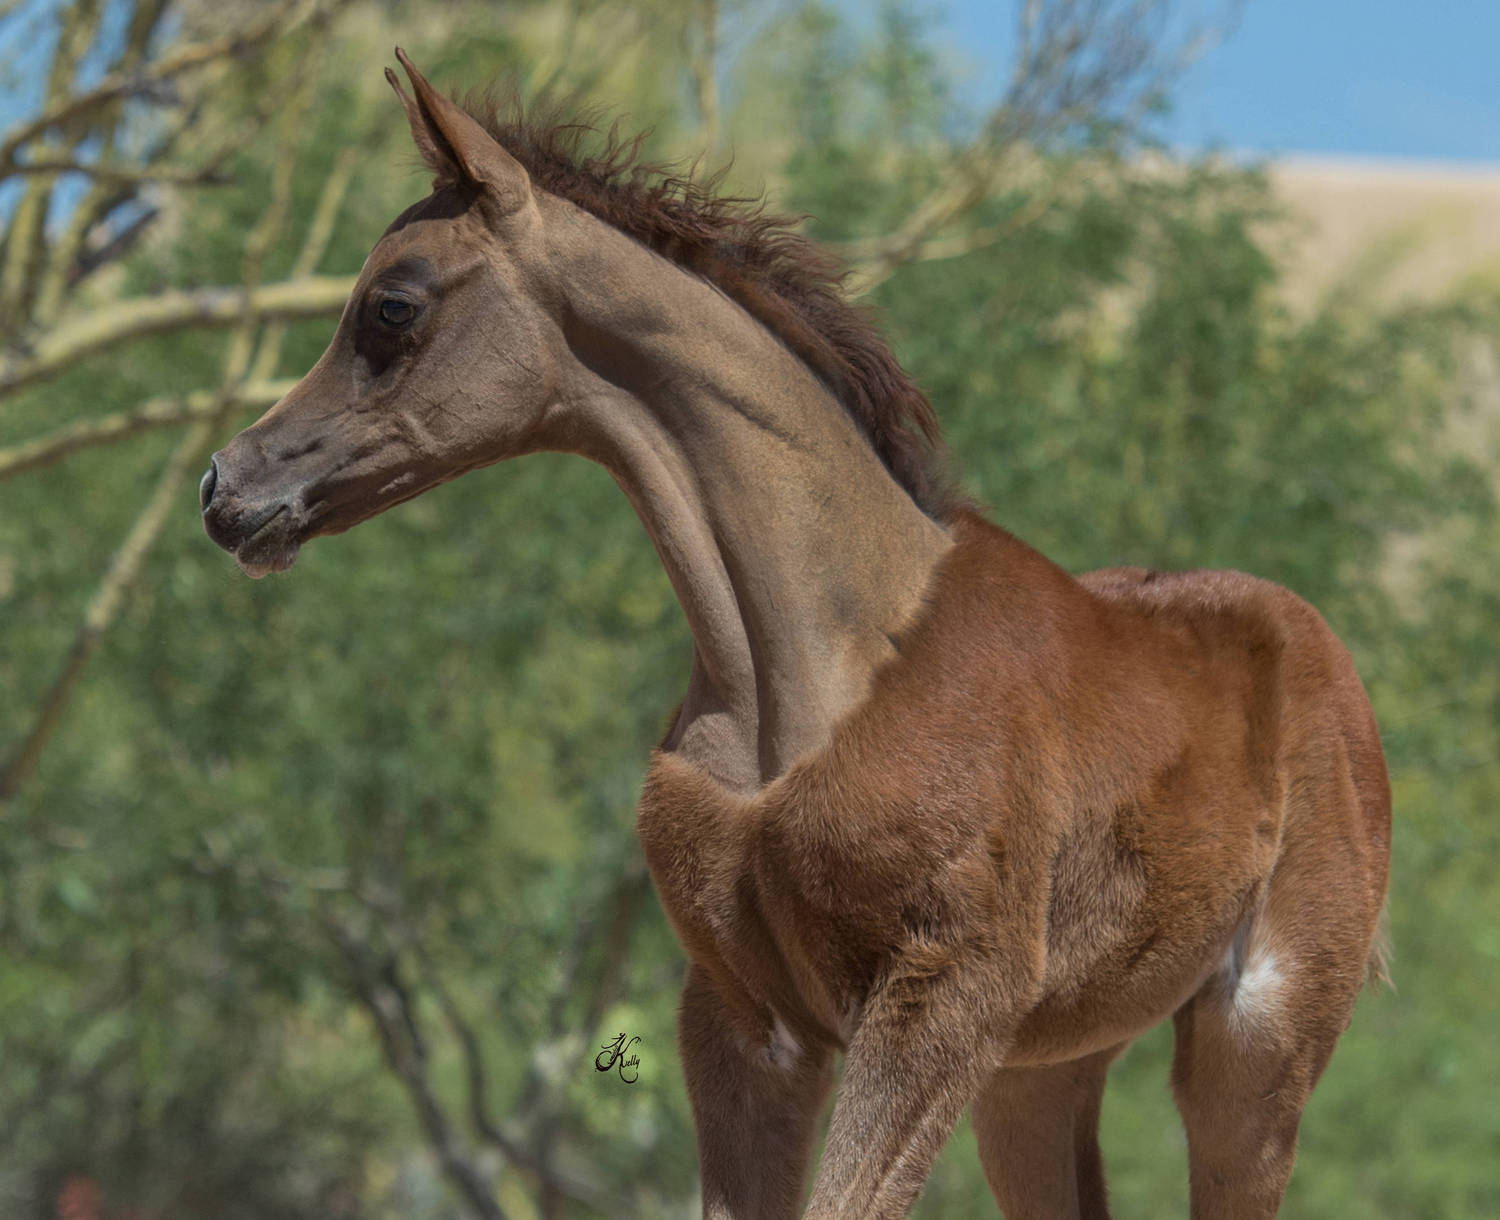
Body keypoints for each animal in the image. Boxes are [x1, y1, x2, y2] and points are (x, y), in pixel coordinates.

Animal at [200, 50, 1391, 1219]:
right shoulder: (744, 1019)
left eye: (392, 305)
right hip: (1044, 1067)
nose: (226, 487)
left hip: (1258, 1037)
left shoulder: (939, 1003)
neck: (815, 665)